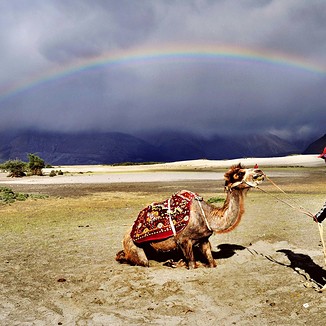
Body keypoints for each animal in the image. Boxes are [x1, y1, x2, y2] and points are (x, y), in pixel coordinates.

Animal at [116, 164, 264, 268]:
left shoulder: (204, 240)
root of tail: (128, 232)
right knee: (141, 261)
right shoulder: (183, 241)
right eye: (239, 173)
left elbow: (212, 263)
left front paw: (177, 262)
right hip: (134, 247)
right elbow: (192, 265)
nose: (259, 172)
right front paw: (180, 263)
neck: (208, 216)